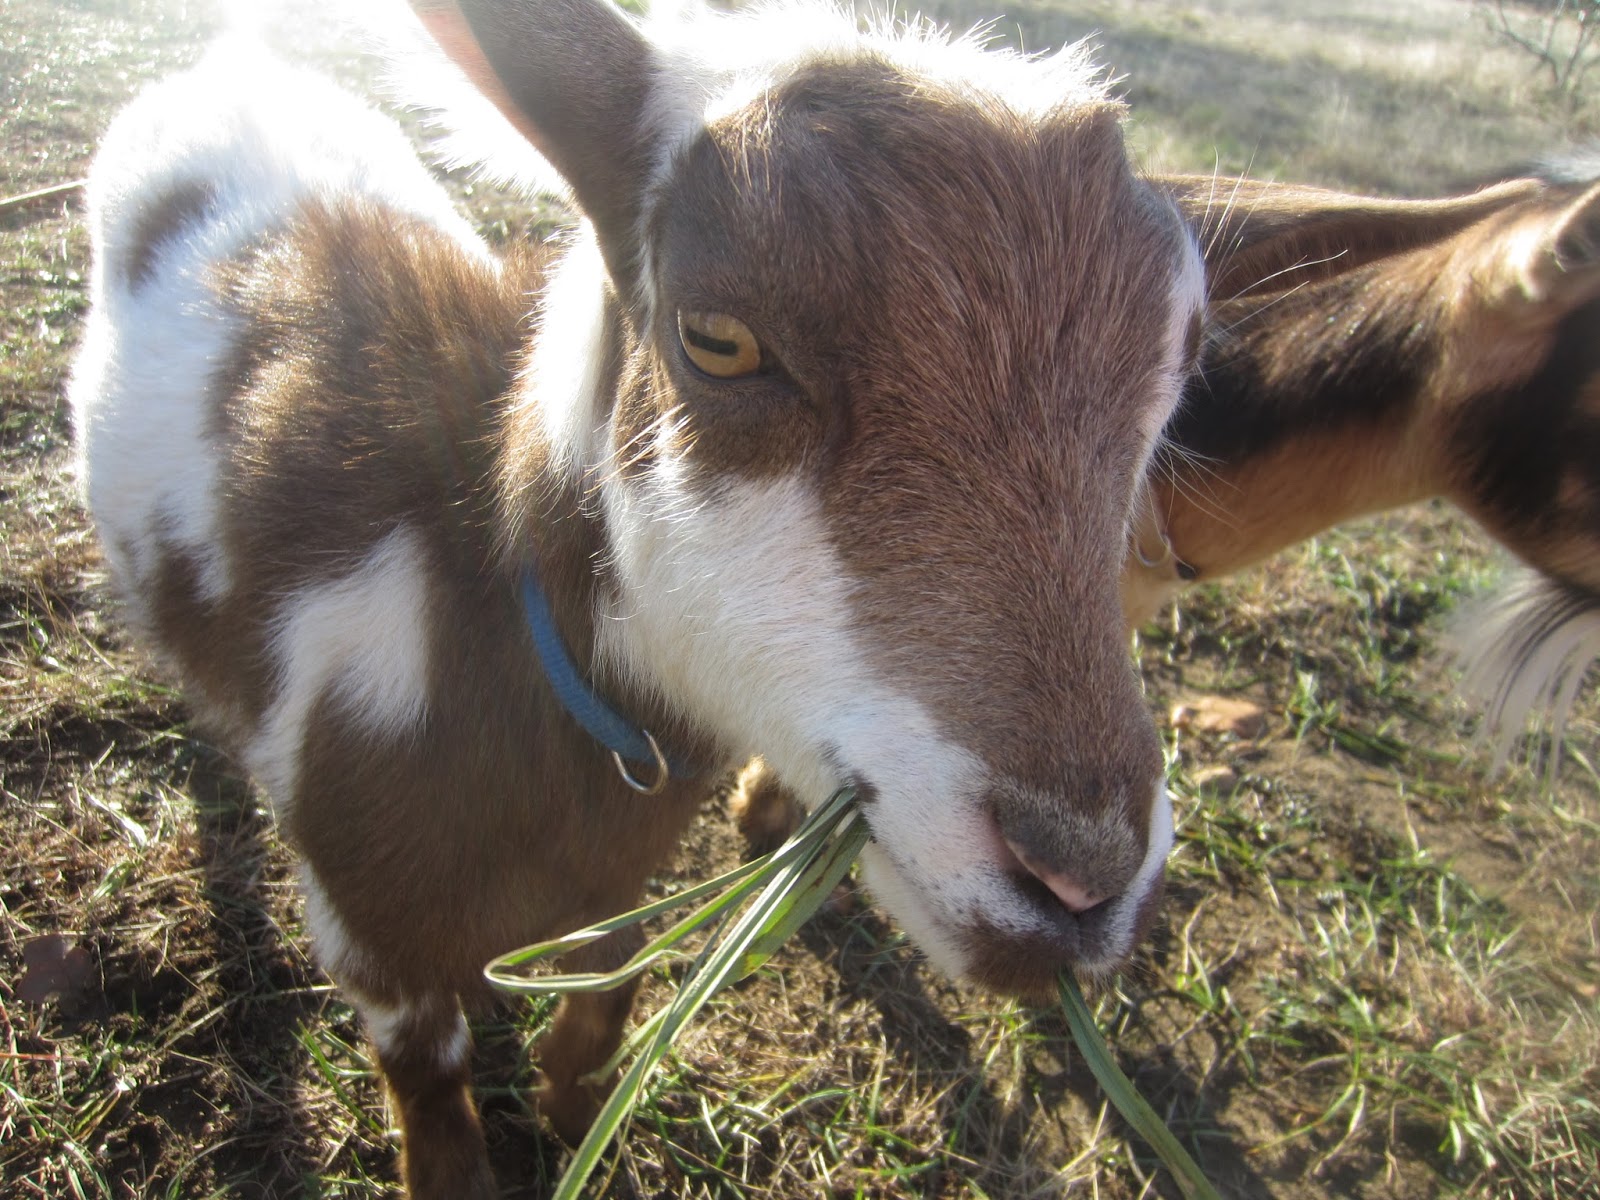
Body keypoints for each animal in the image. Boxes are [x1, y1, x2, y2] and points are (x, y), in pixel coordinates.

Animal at [70, 1, 1211, 1193]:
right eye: (716, 338)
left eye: (1185, 359)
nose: (1080, 878)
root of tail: (228, 61)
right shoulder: (368, 928)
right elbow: (429, 1078)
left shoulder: (617, 884)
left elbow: (610, 987)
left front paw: (575, 1115)